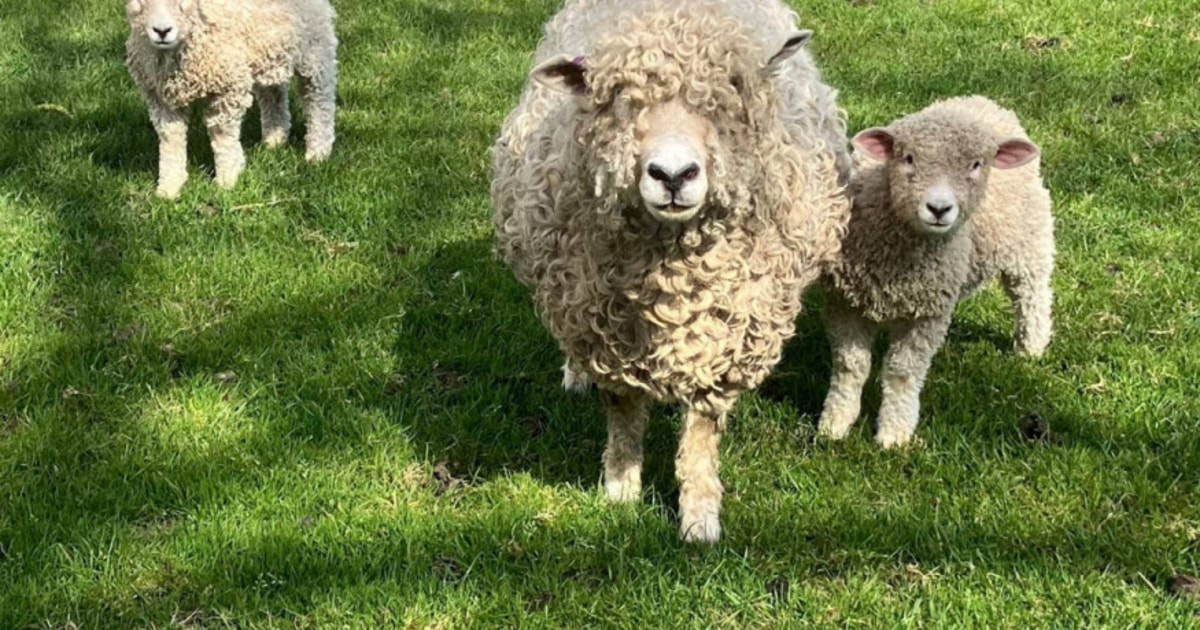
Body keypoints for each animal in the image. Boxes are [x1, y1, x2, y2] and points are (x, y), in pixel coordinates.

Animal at [124, 0, 337, 199]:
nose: (162, 31)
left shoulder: (228, 87)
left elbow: (222, 135)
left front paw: (227, 179)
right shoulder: (160, 97)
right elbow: (170, 139)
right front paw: (169, 187)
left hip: (315, 47)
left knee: (319, 101)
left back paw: (318, 152)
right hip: (270, 53)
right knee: (273, 96)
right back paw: (274, 140)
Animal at [492, 0, 850, 542]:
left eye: (733, 89)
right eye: (616, 99)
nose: (673, 175)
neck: (673, 277)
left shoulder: (725, 339)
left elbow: (700, 432)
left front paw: (699, 517)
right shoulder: (605, 329)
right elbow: (621, 413)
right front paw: (619, 492)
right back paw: (574, 375)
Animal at [818, 95, 1054, 448]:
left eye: (976, 164)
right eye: (908, 158)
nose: (939, 208)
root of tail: (980, 100)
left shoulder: (928, 314)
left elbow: (903, 373)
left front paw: (893, 434)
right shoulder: (843, 301)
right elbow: (850, 366)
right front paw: (835, 424)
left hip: (1029, 242)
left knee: (1032, 296)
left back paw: (1031, 349)